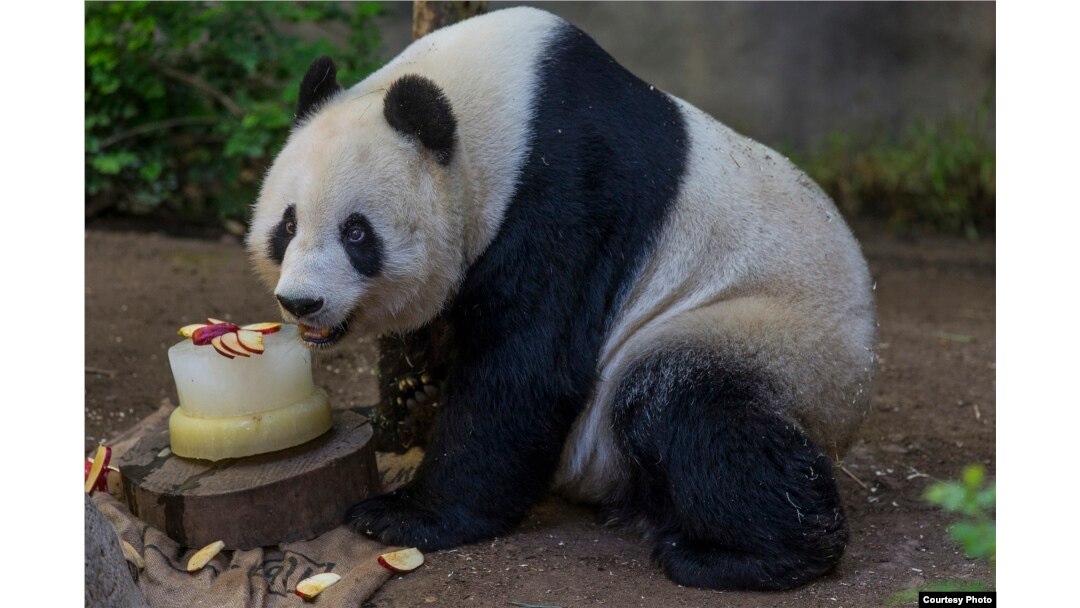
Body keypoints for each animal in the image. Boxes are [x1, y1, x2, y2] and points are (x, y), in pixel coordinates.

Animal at [247, 7, 876, 591]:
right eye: (287, 224)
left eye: (357, 233)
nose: (301, 302)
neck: (498, 109)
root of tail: (846, 412)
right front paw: (391, 415)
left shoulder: (567, 196)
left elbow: (526, 368)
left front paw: (404, 516)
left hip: (766, 335)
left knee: (689, 411)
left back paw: (741, 554)